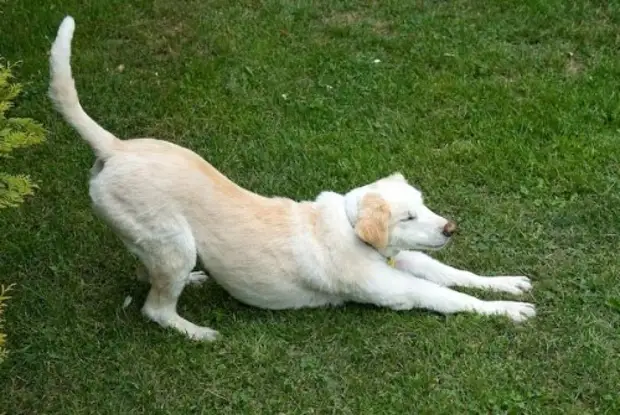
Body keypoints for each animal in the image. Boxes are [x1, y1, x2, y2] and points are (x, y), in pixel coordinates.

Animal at [49, 16, 532, 342]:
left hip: (157, 240)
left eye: (425, 206)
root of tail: (115, 147)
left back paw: (196, 281)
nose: (451, 228)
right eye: (407, 217)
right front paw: (508, 310)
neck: (350, 227)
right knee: (155, 308)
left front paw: (506, 283)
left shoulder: (409, 260)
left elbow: (456, 273)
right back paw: (197, 331)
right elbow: (455, 298)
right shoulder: (398, 290)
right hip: (171, 243)